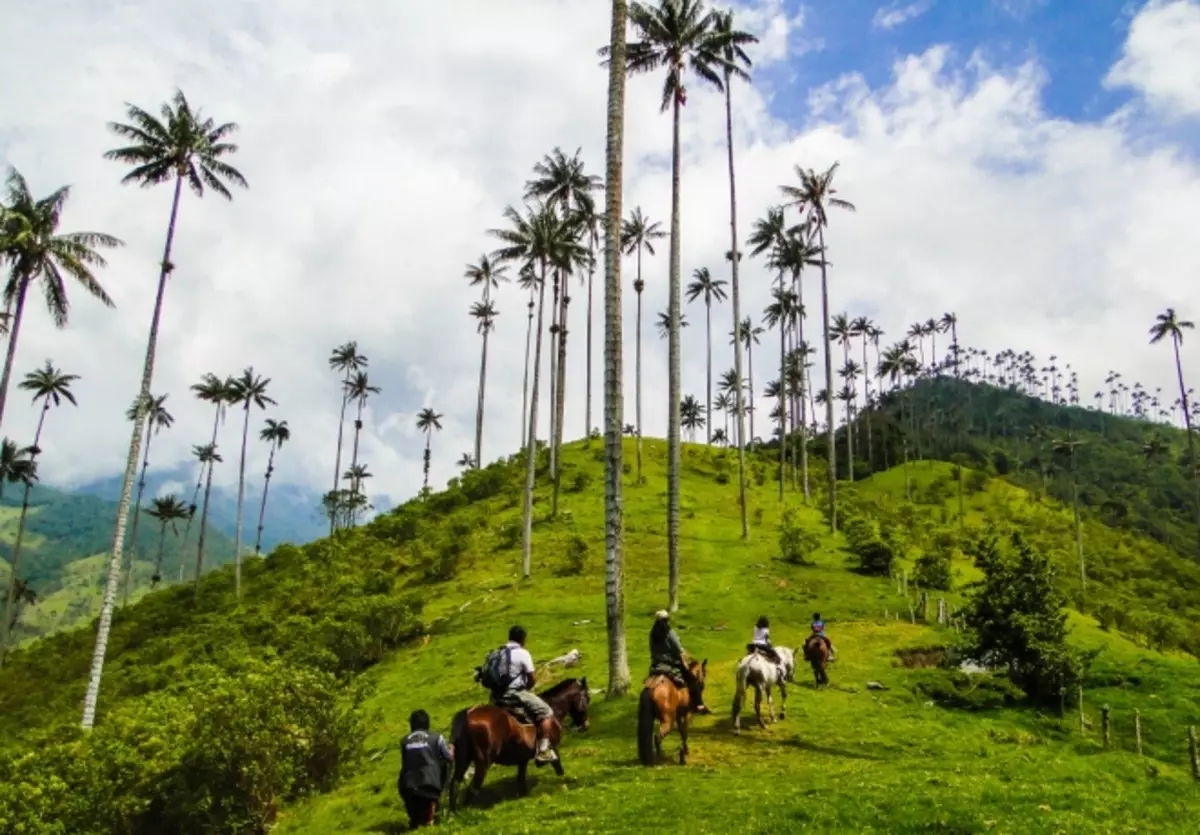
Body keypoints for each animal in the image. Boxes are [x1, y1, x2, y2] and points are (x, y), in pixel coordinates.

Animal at [446, 676, 590, 811]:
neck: (554, 710)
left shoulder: (522, 759)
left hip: (462, 759)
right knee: (473, 787)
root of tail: (466, 716)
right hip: (483, 761)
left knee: (454, 784)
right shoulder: (553, 747)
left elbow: (521, 780)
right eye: (587, 698)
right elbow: (557, 765)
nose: (585, 726)